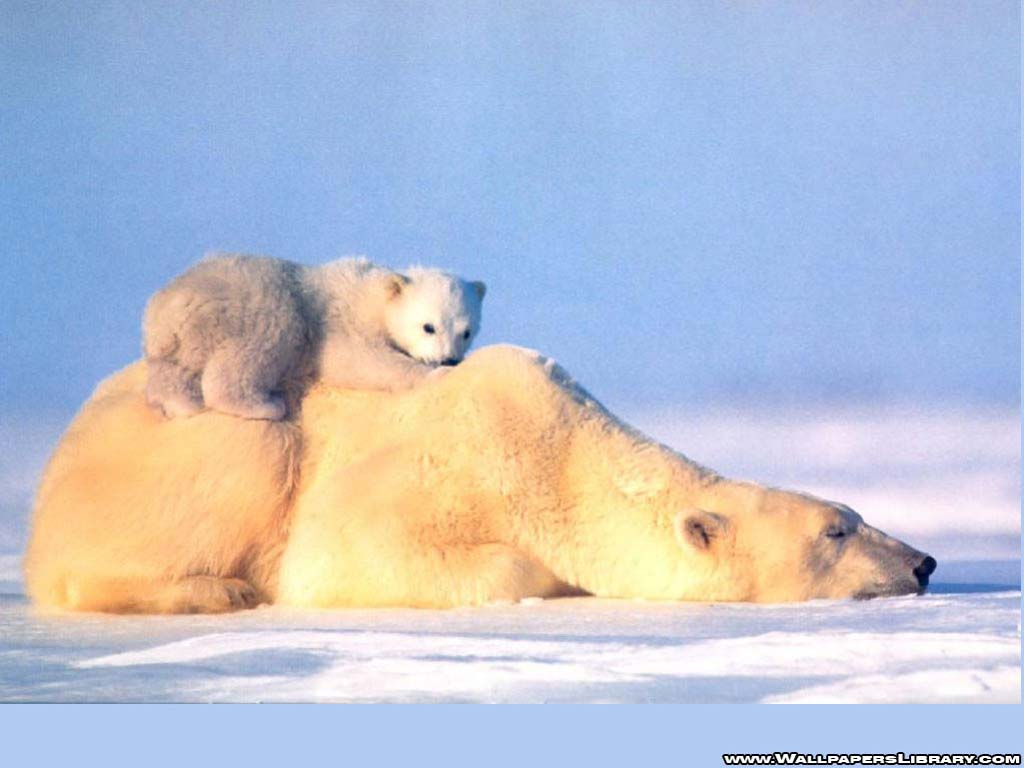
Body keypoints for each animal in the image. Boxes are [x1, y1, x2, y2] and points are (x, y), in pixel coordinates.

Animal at [22, 345, 936, 612]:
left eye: (855, 512)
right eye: (837, 529)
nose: (924, 561)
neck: (559, 451)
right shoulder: (437, 466)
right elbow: (346, 551)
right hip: (187, 447)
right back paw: (215, 589)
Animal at [142, 253, 486, 420]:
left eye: (467, 332)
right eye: (428, 326)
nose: (450, 360)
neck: (370, 293)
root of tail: (165, 306)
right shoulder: (339, 321)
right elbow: (358, 361)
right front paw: (432, 375)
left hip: (180, 340)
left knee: (172, 371)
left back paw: (181, 405)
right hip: (256, 304)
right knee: (262, 342)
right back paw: (265, 407)